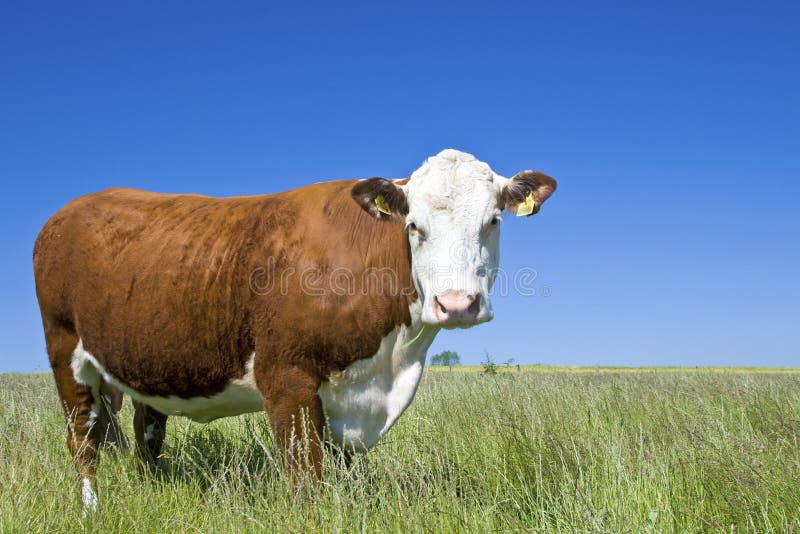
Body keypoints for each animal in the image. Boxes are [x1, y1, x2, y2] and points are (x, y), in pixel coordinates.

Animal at [33, 149, 556, 510]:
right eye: (413, 226)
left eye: (493, 221)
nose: (457, 304)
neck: (390, 365)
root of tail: (71, 209)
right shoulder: (287, 379)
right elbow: (307, 480)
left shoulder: (347, 401)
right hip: (66, 353)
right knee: (83, 439)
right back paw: (91, 509)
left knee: (147, 435)